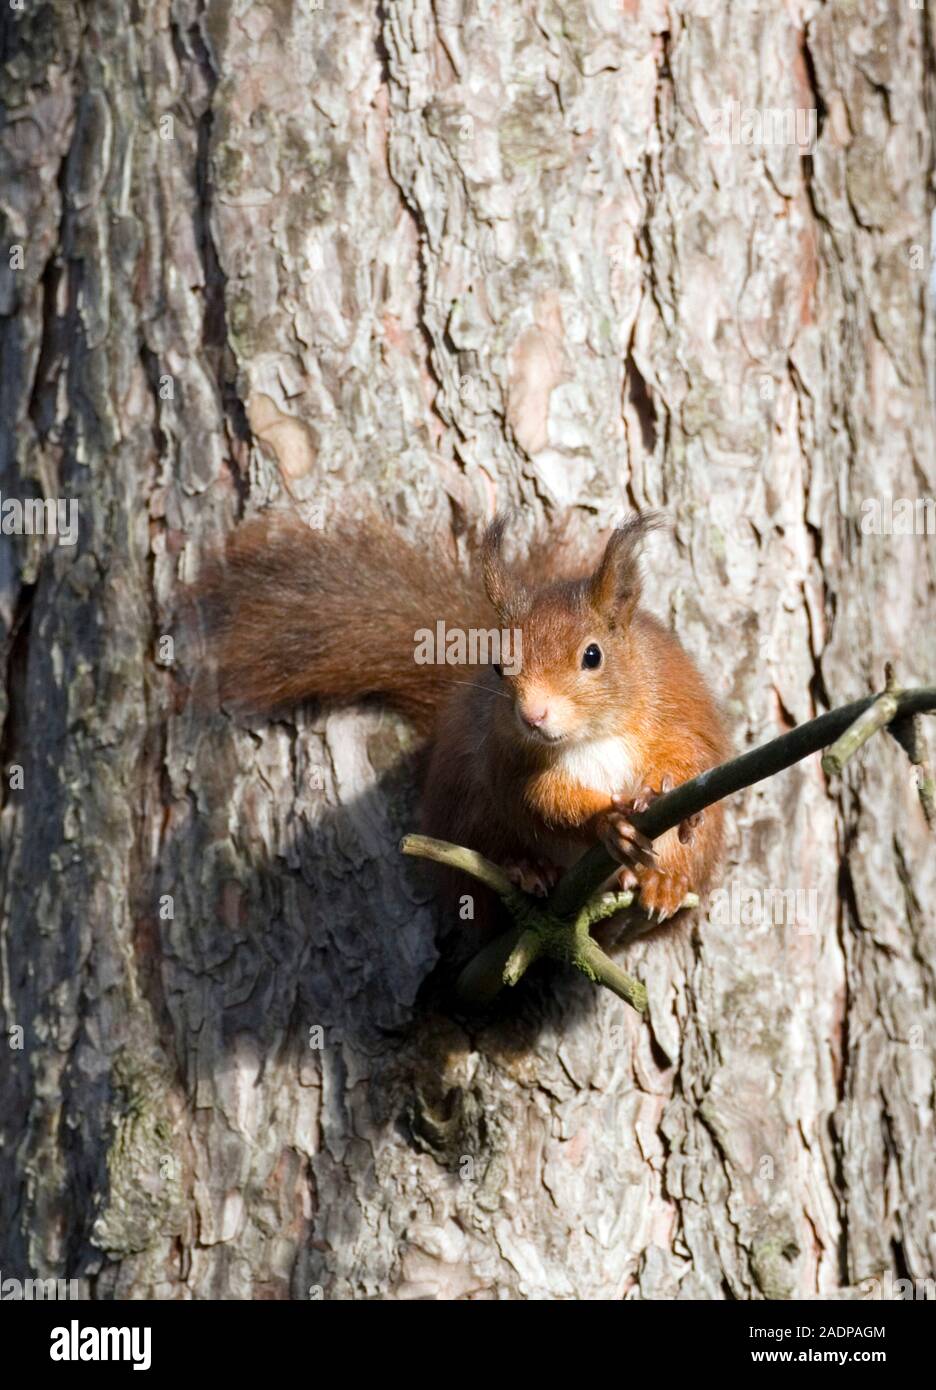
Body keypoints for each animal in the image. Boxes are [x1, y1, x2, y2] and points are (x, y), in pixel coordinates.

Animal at [191, 510, 729, 923]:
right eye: (498, 665)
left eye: (592, 656)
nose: (533, 715)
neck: (590, 737)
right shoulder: (508, 757)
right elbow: (539, 802)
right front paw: (608, 822)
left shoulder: (670, 708)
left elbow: (692, 755)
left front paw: (665, 789)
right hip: (470, 809)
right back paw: (526, 868)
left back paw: (664, 882)